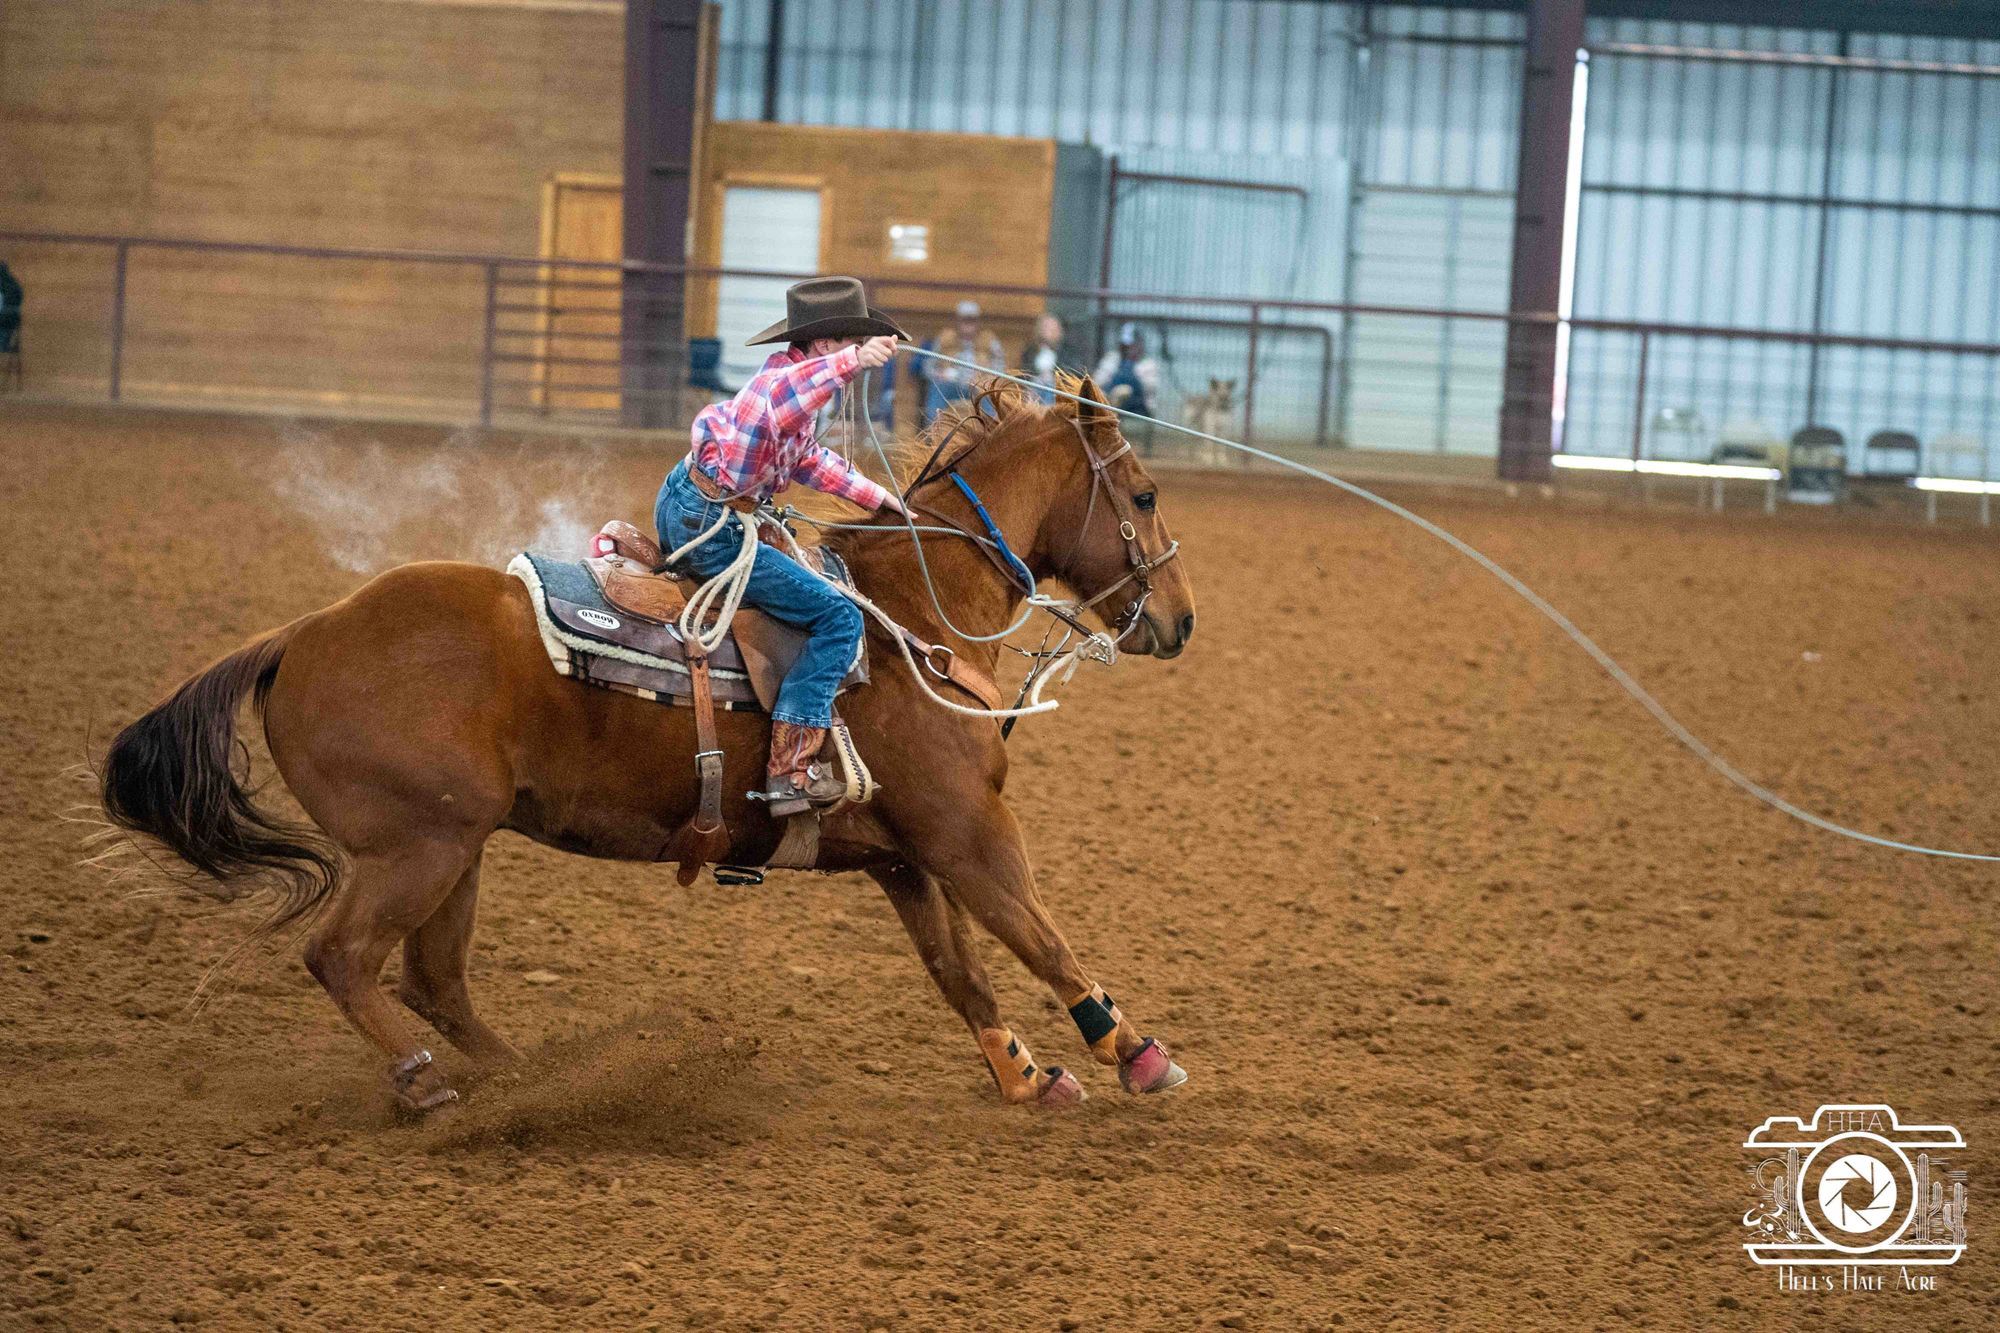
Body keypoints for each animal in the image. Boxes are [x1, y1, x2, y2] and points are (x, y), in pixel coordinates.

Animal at [99, 374, 1198, 1113]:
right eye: (1144, 495)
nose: (1181, 621)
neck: (905, 616)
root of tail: (300, 632)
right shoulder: (967, 834)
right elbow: (1041, 937)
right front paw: (1136, 1053)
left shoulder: (904, 855)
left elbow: (960, 969)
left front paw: (1028, 1076)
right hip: (416, 847)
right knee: (342, 957)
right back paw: (426, 1084)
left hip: (455, 844)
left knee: (431, 979)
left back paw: (532, 1079)